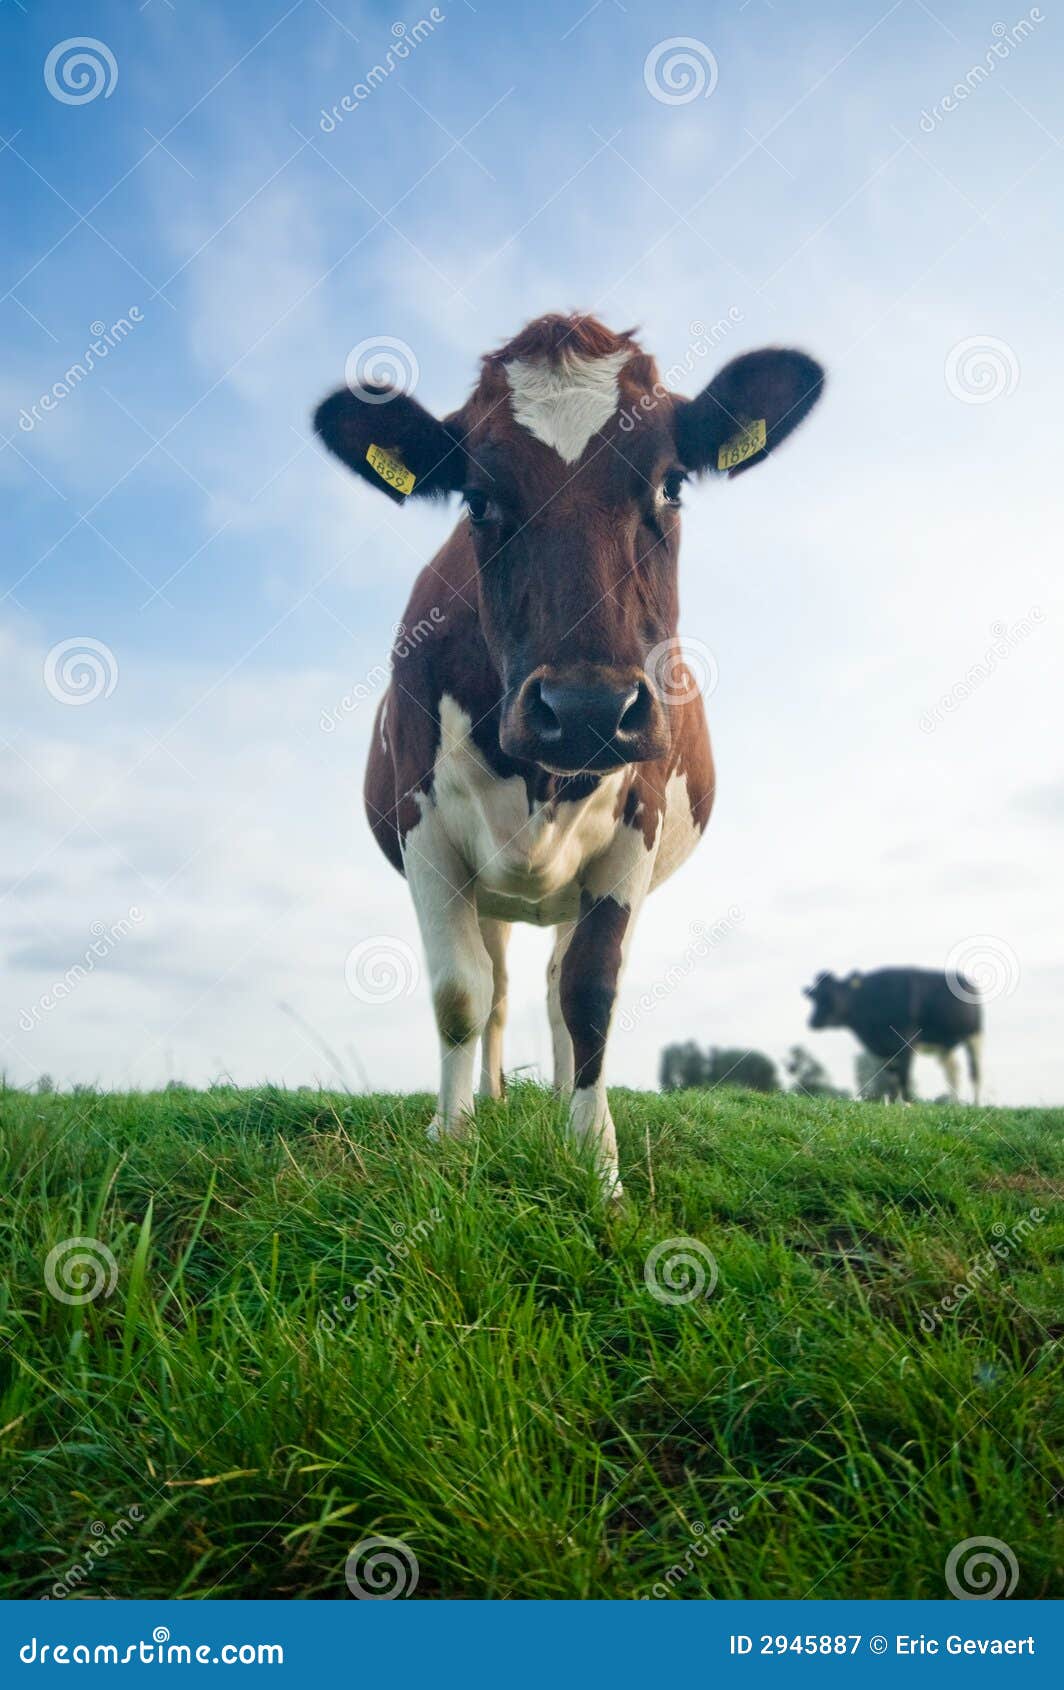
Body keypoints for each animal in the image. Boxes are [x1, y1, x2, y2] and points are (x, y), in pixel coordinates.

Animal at [315, 312, 825, 1195]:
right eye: (478, 500)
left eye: (672, 485)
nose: (587, 709)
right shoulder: (426, 832)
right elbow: (460, 993)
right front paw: (453, 1138)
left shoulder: (635, 826)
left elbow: (590, 993)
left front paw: (597, 1163)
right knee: (498, 986)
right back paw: (489, 1102)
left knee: (556, 986)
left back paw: (559, 1104)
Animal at [803, 967, 983, 1103]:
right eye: (815, 997)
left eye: (832, 996)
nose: (813, 1022)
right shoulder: (886, 1048)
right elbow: (892, 1077)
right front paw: (890, 1103)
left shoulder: (907, 1041)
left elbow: (904, 1075)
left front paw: (907, 1103)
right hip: (944, 1046)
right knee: (953, 1071)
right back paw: (954, 1104)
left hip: (974, 1036)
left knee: (975, 1073)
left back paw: (975, 1104)